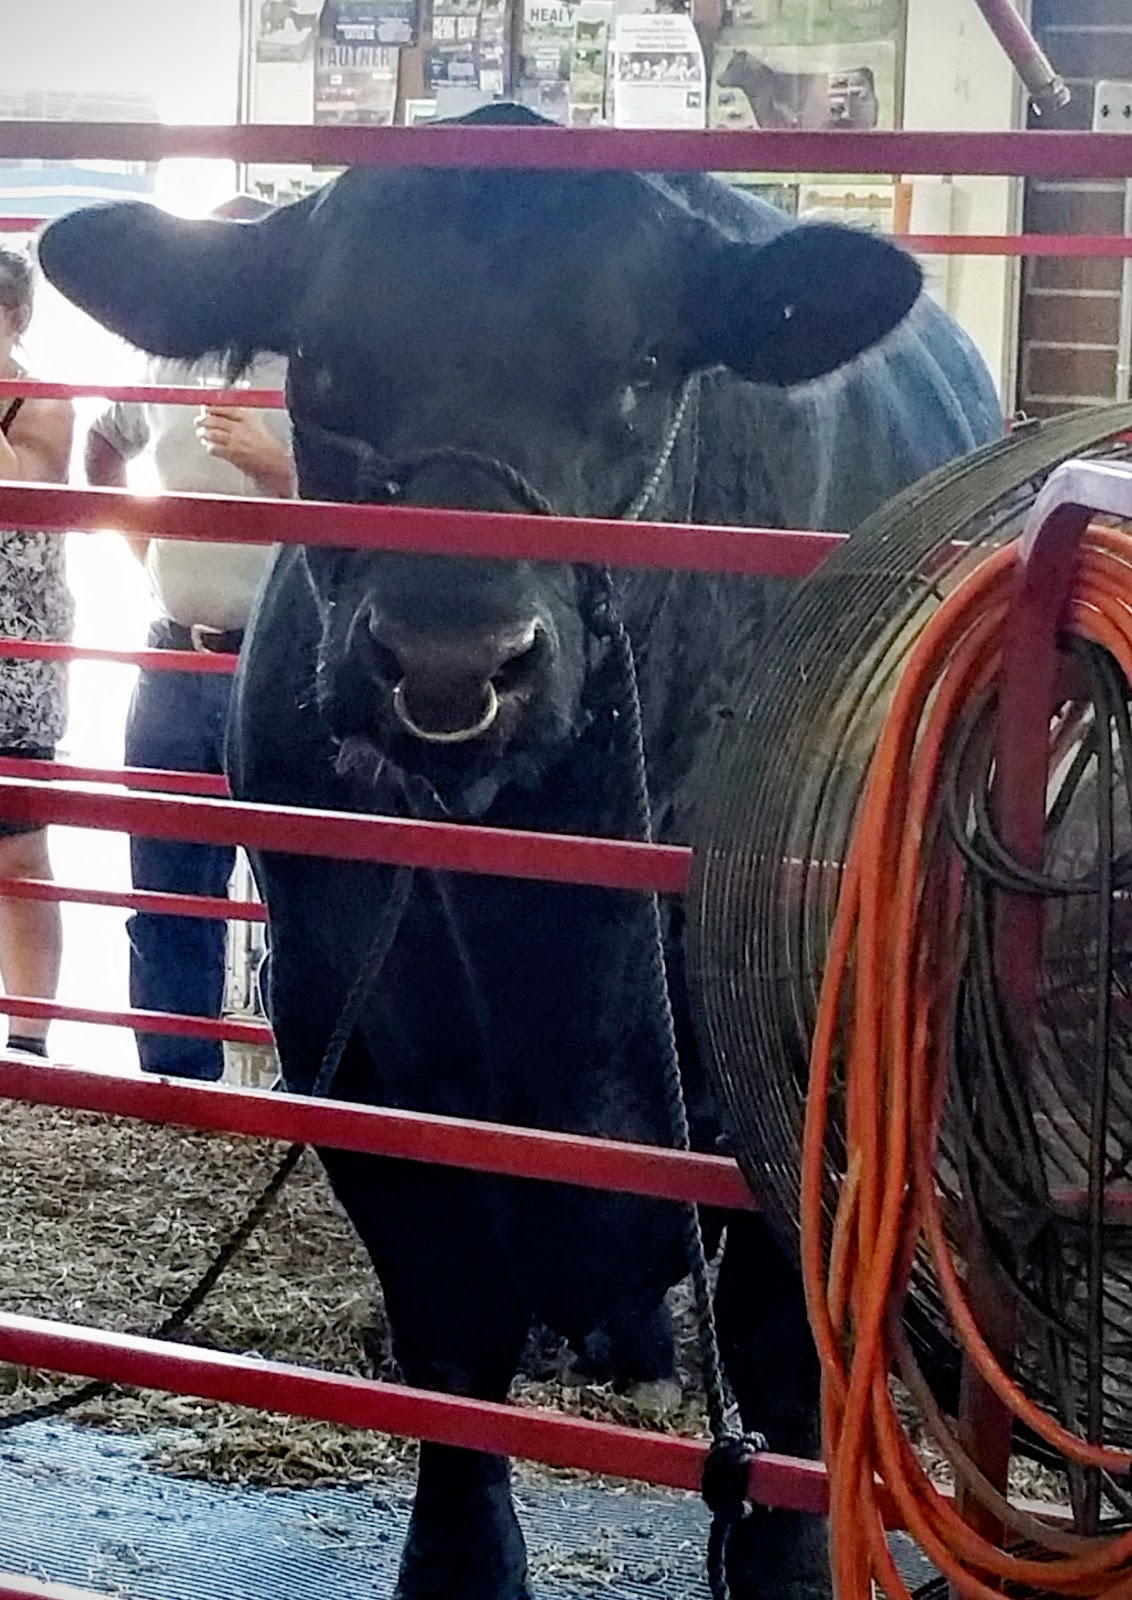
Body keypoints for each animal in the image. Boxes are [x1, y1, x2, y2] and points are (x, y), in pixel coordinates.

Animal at [39, 104, 1002, 1600]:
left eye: (644, 367)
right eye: (323, 357)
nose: (449, 659)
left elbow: (786, 1379)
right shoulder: (353, 1046)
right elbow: (452, 1344)